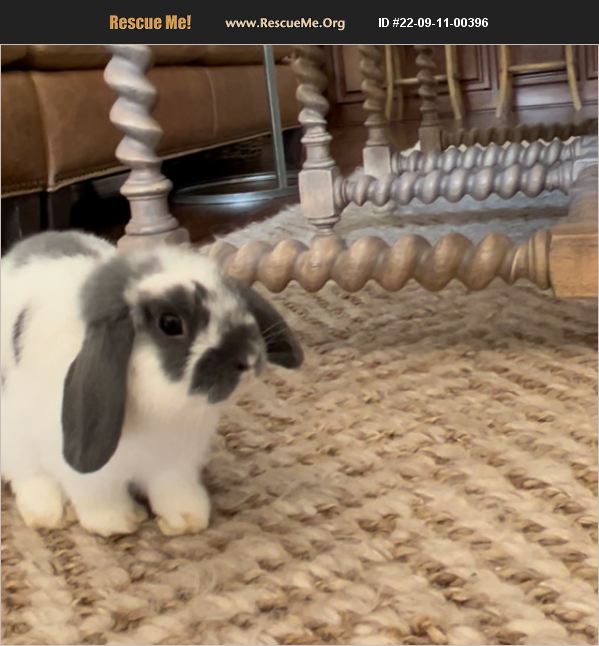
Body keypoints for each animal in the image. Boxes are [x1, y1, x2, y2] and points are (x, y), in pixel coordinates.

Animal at [1, 231, 303, 537]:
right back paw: (49, 514)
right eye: (170, 323)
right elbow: (100, 498)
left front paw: (187, 519)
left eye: (236, 300)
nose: (249, 359)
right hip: (15, 441)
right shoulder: (90, 475)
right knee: (28, 475)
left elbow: (173, 489)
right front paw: (119, 523)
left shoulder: (175, 462)